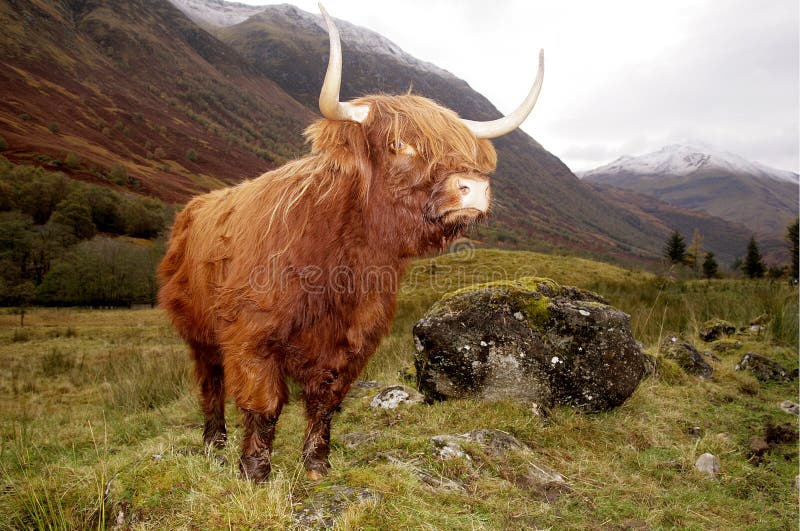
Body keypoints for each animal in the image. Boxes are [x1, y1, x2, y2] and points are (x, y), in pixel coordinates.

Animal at [158, 5, 544, 483]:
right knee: (210, 383)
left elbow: (326, 402)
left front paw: (317, 466)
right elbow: (263, 405)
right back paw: (214, 443)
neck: (342, 264)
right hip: (198, 331)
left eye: (464, 149)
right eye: (399, 143)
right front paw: (255, 473)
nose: (473, 187)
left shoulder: (354, 342)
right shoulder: (251, 334)